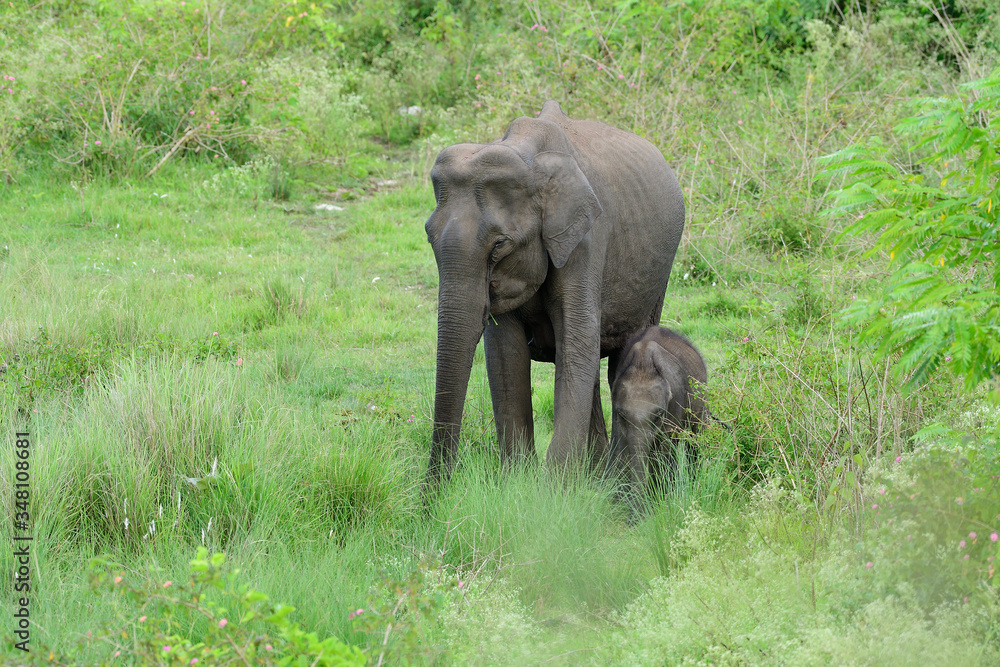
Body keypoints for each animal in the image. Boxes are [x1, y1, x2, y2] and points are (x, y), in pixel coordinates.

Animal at [424, 101, 685, 490]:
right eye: (428, 236)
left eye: (499, 245)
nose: (431, 498)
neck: (527, 155)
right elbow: (505, 353)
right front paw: (520, 483)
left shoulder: (585, 238)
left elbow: (576, 341)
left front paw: (553, 491)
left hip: (659, 276)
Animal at [607, 326, 710, 515]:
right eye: (622, 414)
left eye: (658, 415)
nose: (634, 517)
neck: (643, 365)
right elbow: (624, 447)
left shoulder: (675, 401)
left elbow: (663, 451)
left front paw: (660, 501)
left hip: (701, 398)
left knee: (693, 440)